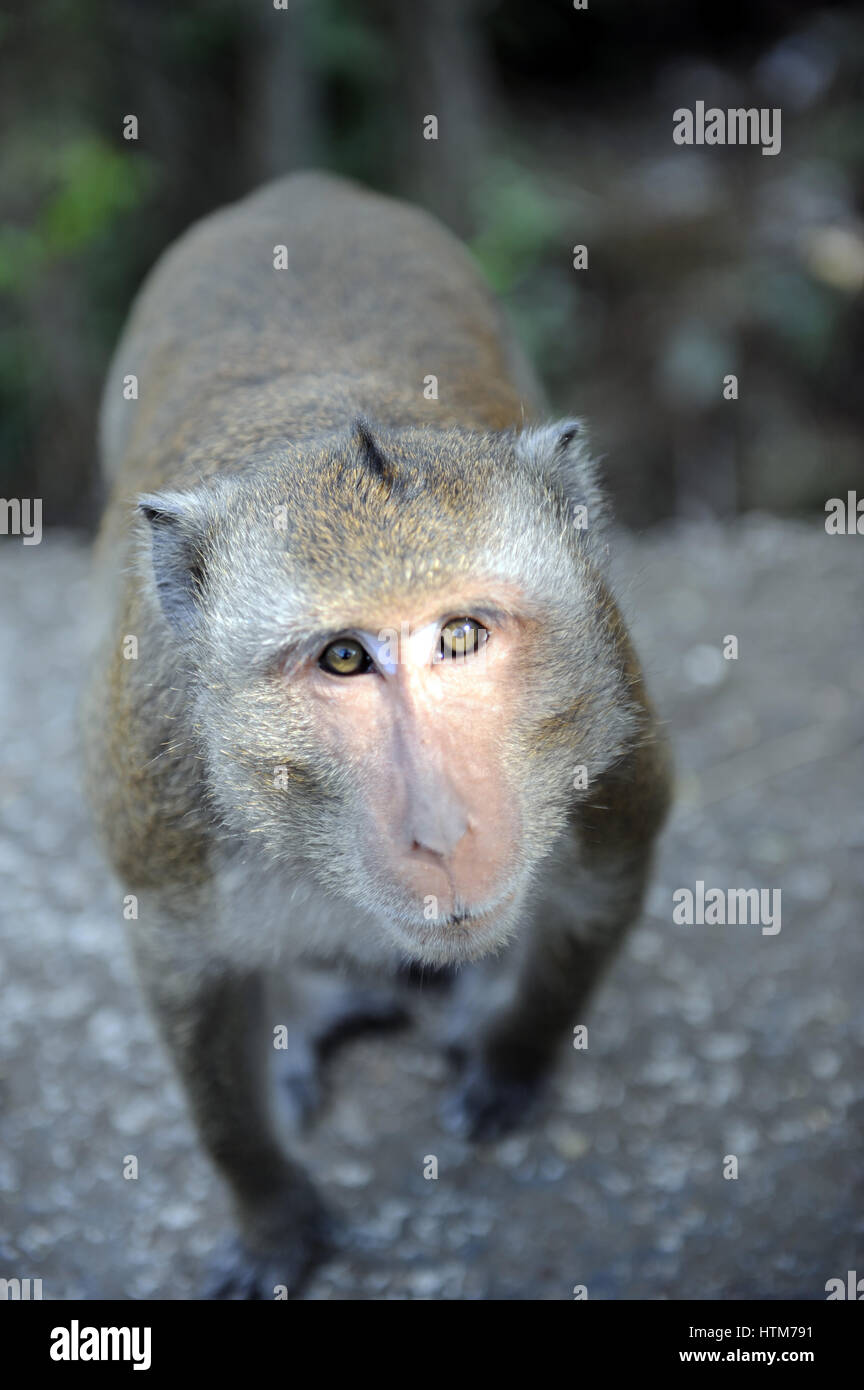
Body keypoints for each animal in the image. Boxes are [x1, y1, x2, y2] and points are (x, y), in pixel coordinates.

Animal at [84, 170, 672, 1298]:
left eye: (461, 636)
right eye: (344, 660)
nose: (441, 827)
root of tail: (303, 187)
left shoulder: (609, 720)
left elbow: (602, 883)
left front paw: (510, 1054)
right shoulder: (165, 812)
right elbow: (191, 982)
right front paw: (271, 1212)